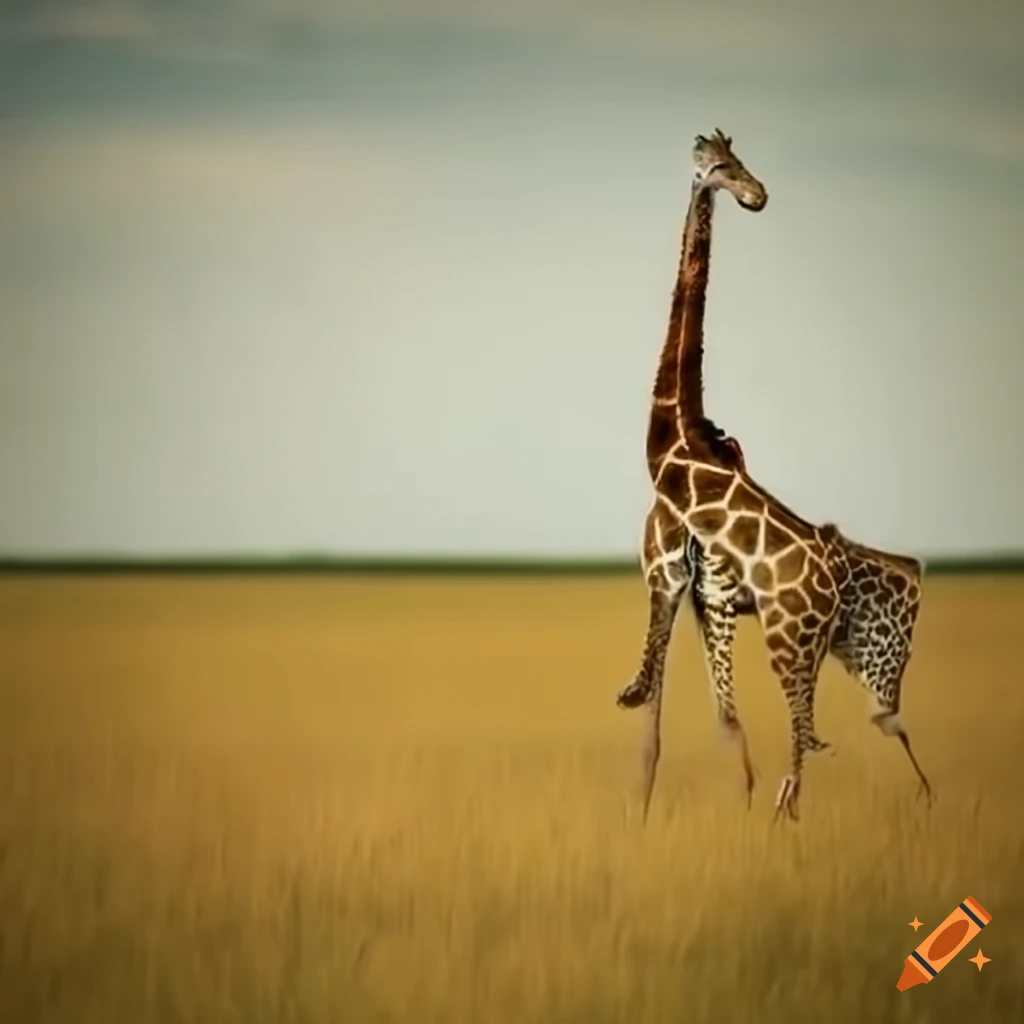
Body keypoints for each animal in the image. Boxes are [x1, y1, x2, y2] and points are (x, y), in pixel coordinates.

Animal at [615, 130, 933, 823]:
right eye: (720, 166)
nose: (756, 195)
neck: (679, 432)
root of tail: (834, 587)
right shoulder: (697, 589)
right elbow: (711, 721)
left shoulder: (668, 575)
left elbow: (662, 718)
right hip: (831, 644)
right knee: (867, 724)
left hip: (791, 638)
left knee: (808, 739)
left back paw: (790, 815)